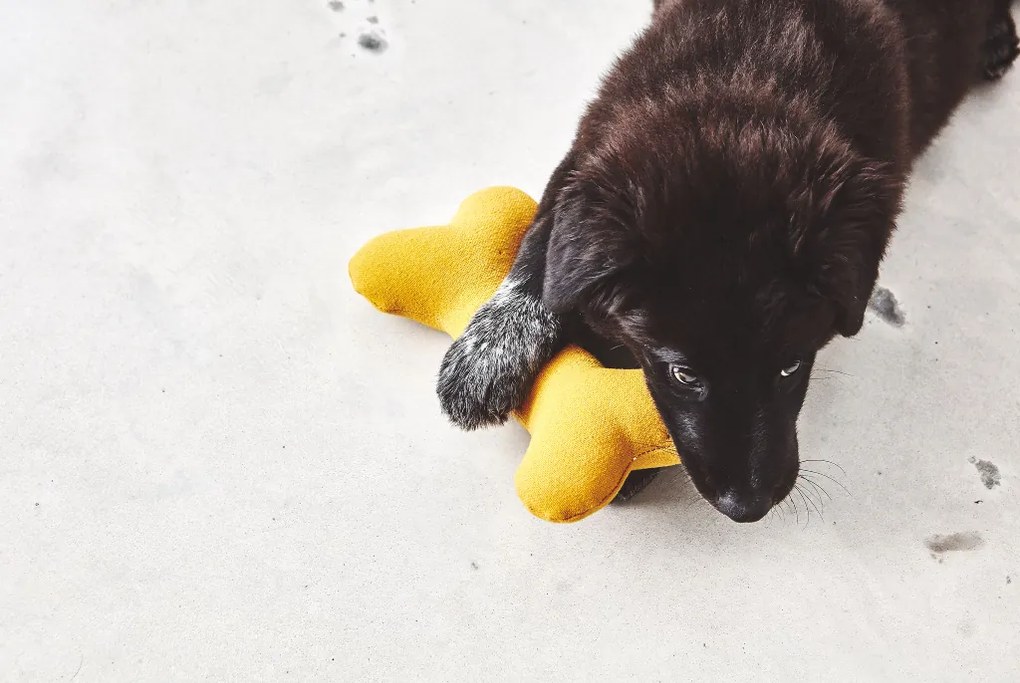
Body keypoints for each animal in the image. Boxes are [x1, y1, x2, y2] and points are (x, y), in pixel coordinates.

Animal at [434, 0, 1015, 526]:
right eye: (683, 374)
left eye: (792, 365)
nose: (747, 509)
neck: (752, 73)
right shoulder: (595, 148)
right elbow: (545, 241)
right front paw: (487, 353)